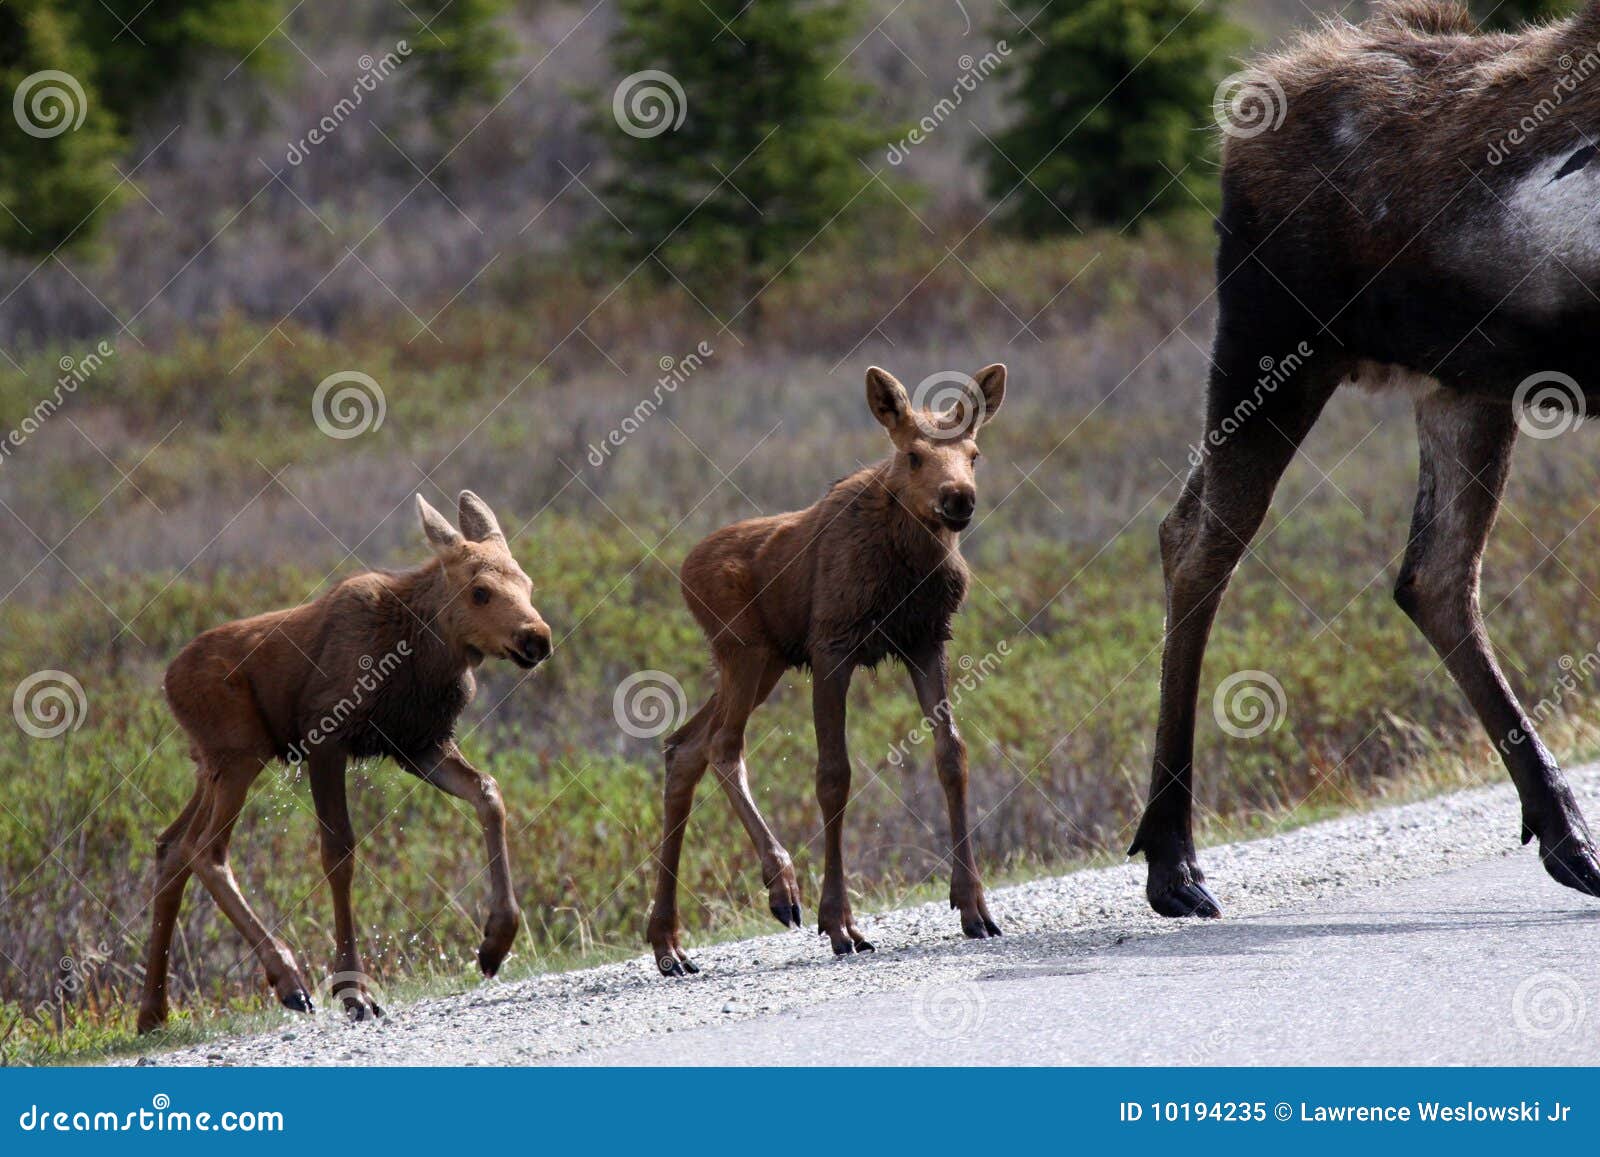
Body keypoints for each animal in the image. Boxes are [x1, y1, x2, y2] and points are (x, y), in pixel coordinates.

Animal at [136, 491, 552, 1032]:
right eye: (480, 591)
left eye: (527, 583)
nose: (536, 637)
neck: (424, 653)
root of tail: (167, 683)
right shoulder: (327, 737)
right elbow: (339, 853)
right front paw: (353, 991)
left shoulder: (419, 744)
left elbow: (489, 792)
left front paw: (496, 941)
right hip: (240, 752)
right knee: (205, 849)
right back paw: (288, 980)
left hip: (213, 763)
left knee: (171, 846)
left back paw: (153, 1012)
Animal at [647, 364, 1008, 975]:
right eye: (913, 455)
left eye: (975, 453)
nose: (958, 498)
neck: (908, 564)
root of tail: (682, 573)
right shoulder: (831, 648)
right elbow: (833, 775)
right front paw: (839, 922)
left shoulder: (925, 640)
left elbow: (952, 755)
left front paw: (973, 905)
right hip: (744, 653)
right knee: (721, 745)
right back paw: (780, 886)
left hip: (765, 662)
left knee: (684, 746)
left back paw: (668, 942)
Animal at [1133, 0, 1600, 919]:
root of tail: (1254, 99)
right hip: (1275, 343)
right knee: (1199, 540)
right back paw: (1173, 859)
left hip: (1463, 385)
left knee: (1434, 576)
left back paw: (1564, 831)